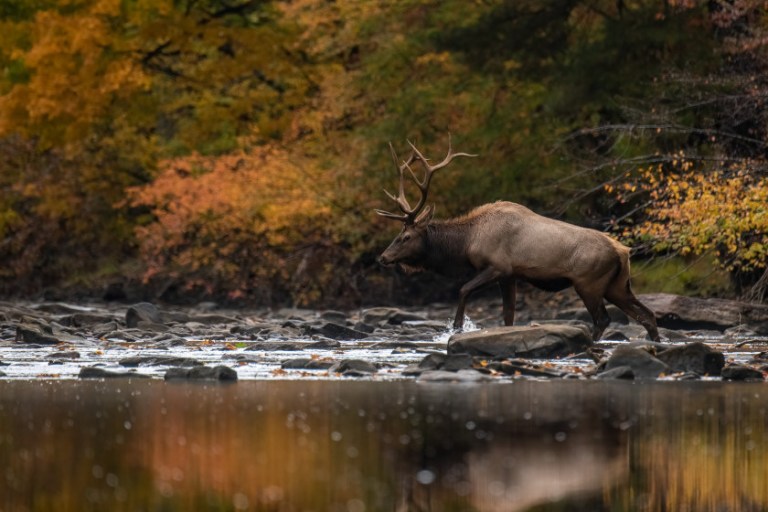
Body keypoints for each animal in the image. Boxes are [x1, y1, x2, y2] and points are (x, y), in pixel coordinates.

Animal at [375, 138, 660, 342]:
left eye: (406, 236)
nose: (383, 257)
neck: (466, 243)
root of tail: (624, 251)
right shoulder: (510, 275)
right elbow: (508, 315)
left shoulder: (498, 266)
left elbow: (464, 289)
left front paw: (455, 329)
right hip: (618, 285)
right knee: (648, 315)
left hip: (589, 283)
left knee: (603, 319)